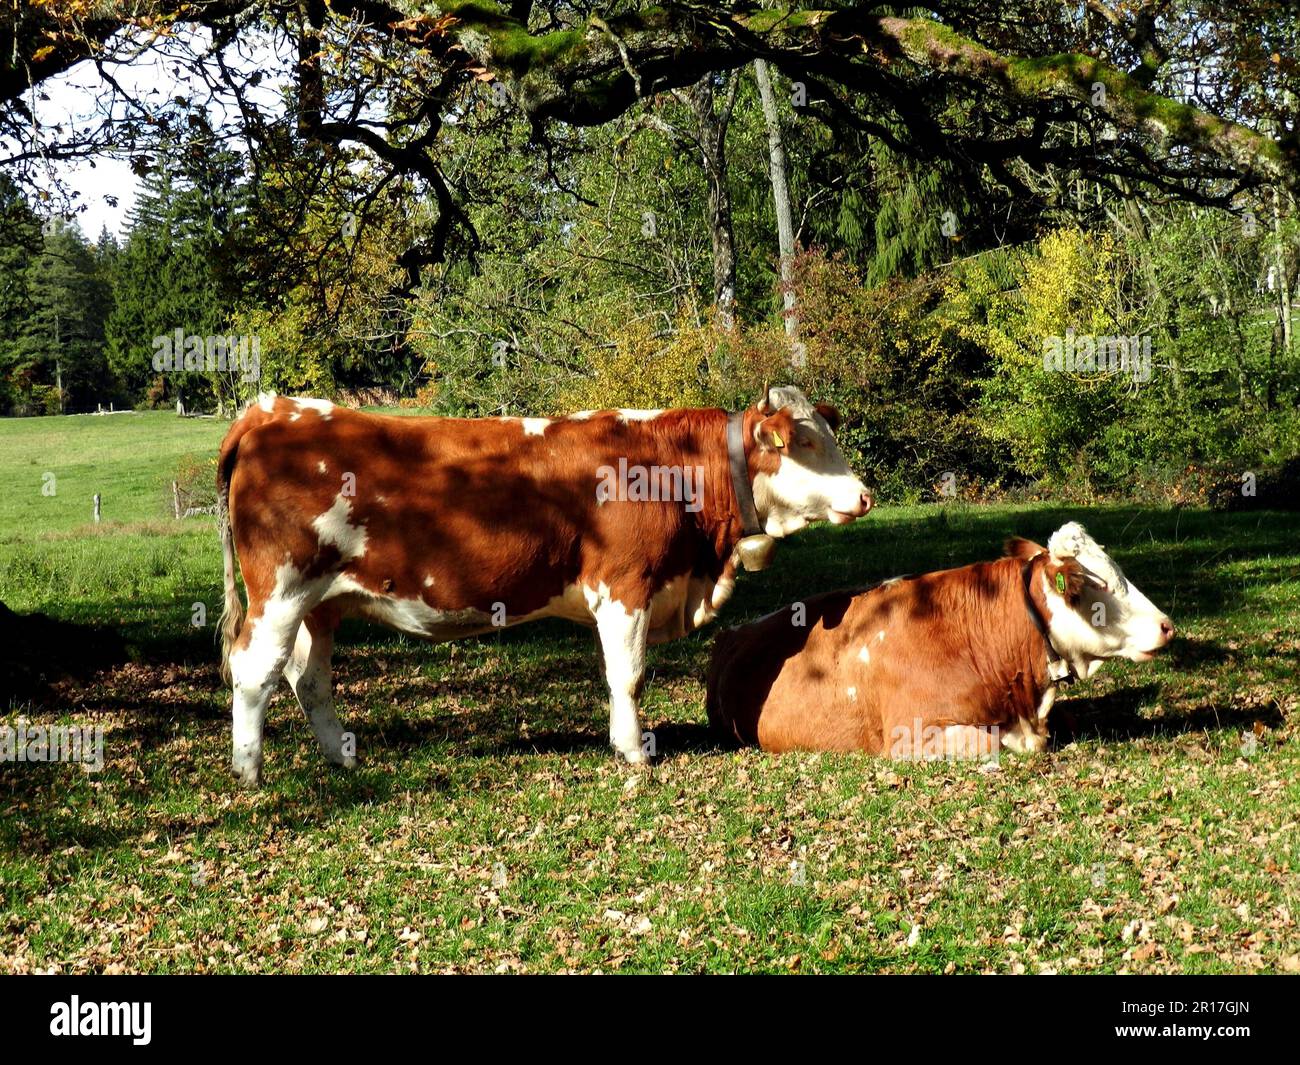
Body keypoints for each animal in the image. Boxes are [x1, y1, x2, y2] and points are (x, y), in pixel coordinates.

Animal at [217, 386, 872, 785]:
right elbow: (628, 675)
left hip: (319, 604)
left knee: (308, 680)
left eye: (827, 435)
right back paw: (249, 771)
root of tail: (273, 409)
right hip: (281, 591)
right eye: (805, 442)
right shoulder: (625, 585)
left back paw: (342, 757)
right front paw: (634, 752)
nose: (864, 495)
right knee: (255, 670)